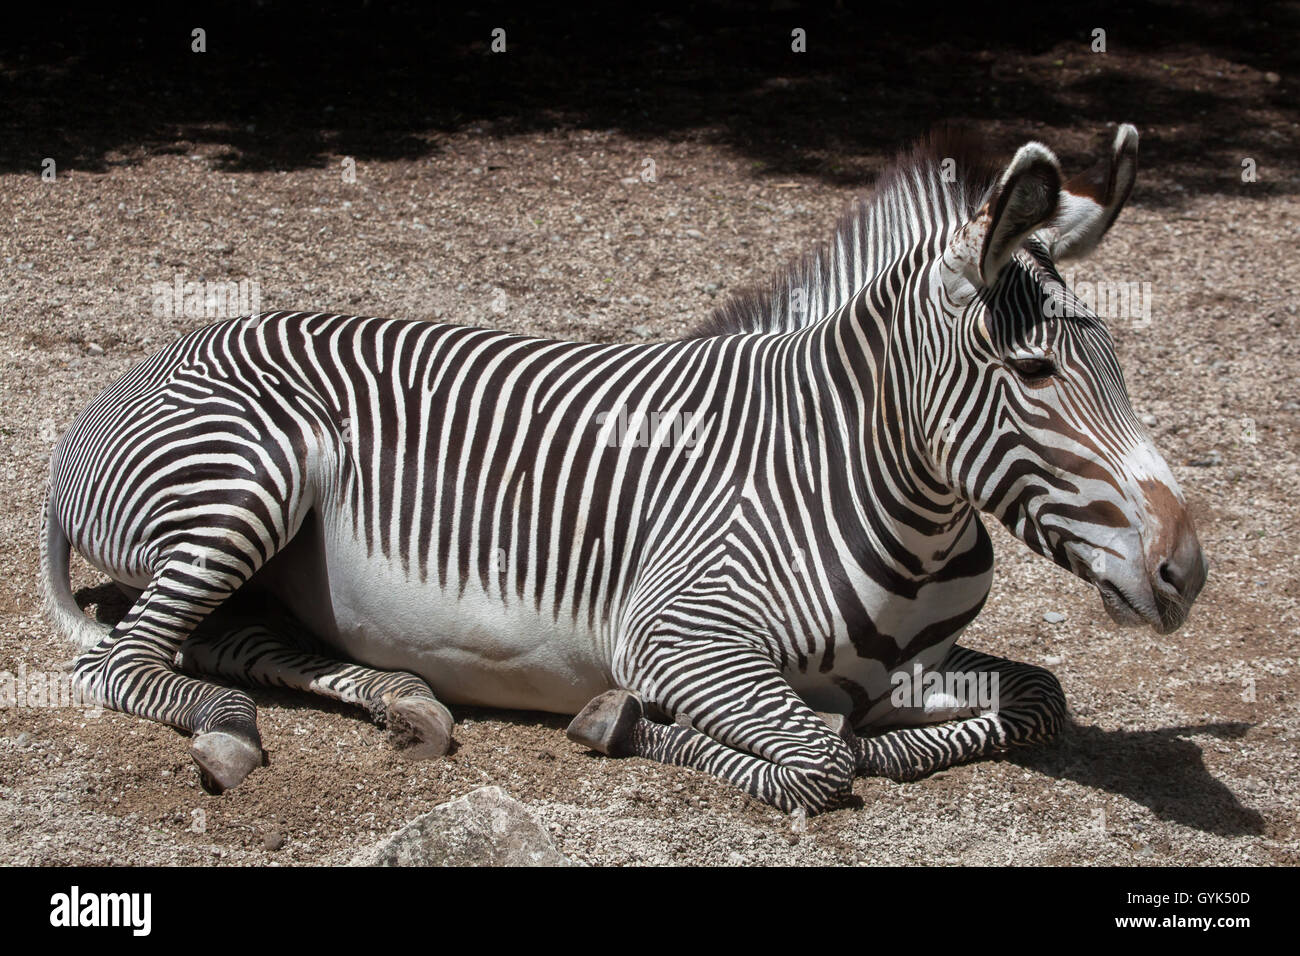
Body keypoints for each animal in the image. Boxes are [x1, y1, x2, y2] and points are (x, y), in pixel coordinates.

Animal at [40, 124, 1206, 812]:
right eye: (1035, 370)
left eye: (1116, 360)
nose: (1186, 572)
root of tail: (152, 359)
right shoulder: (680, 638)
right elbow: (819, 758)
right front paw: (629, 723)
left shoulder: (908, 663)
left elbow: (1037, 696)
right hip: (249, 479)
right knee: (127, 661)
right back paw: (229, 735)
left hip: (262, 557)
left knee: (223, 637)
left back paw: (400, 700)